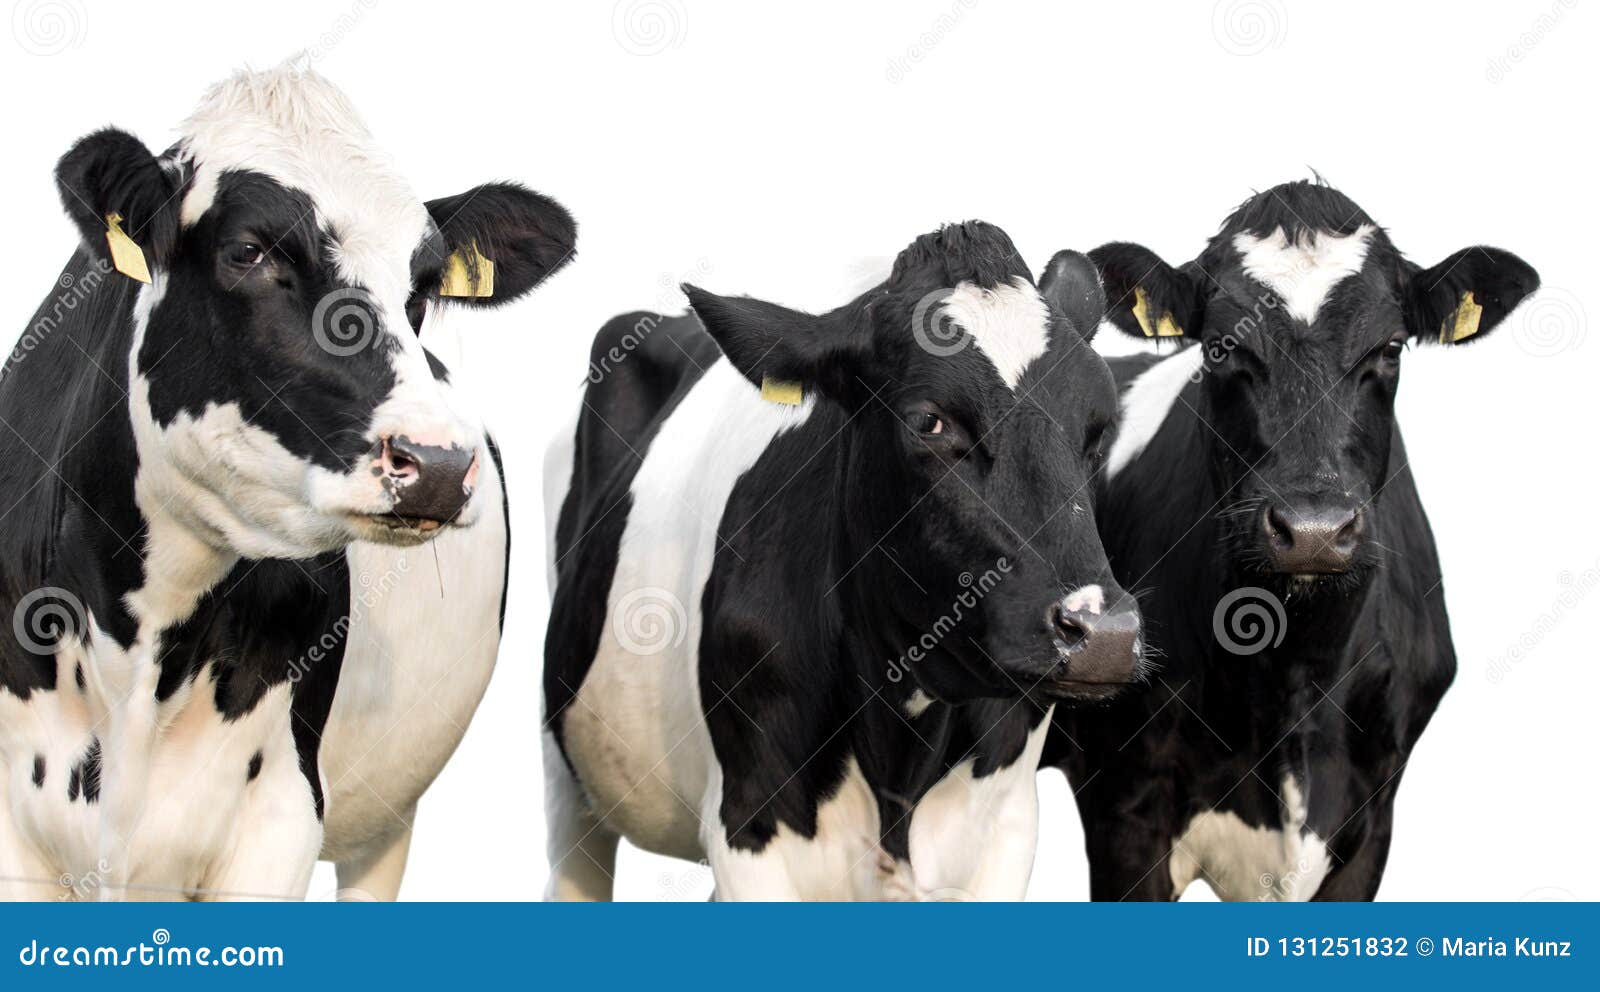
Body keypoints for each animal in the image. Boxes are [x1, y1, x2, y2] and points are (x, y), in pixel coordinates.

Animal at [542, 221, 1146, 901]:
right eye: (929, 421)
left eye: (1100, 428)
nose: (1103, 633)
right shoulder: (750, 829)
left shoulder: (1007, 829)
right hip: (566, 776)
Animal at [1045, 179, 1539, 901]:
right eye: (1219, 347)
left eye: (1391, 348)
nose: (1312, 531)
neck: (1295, 674)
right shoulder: (1124, 814)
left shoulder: (1372, 825)